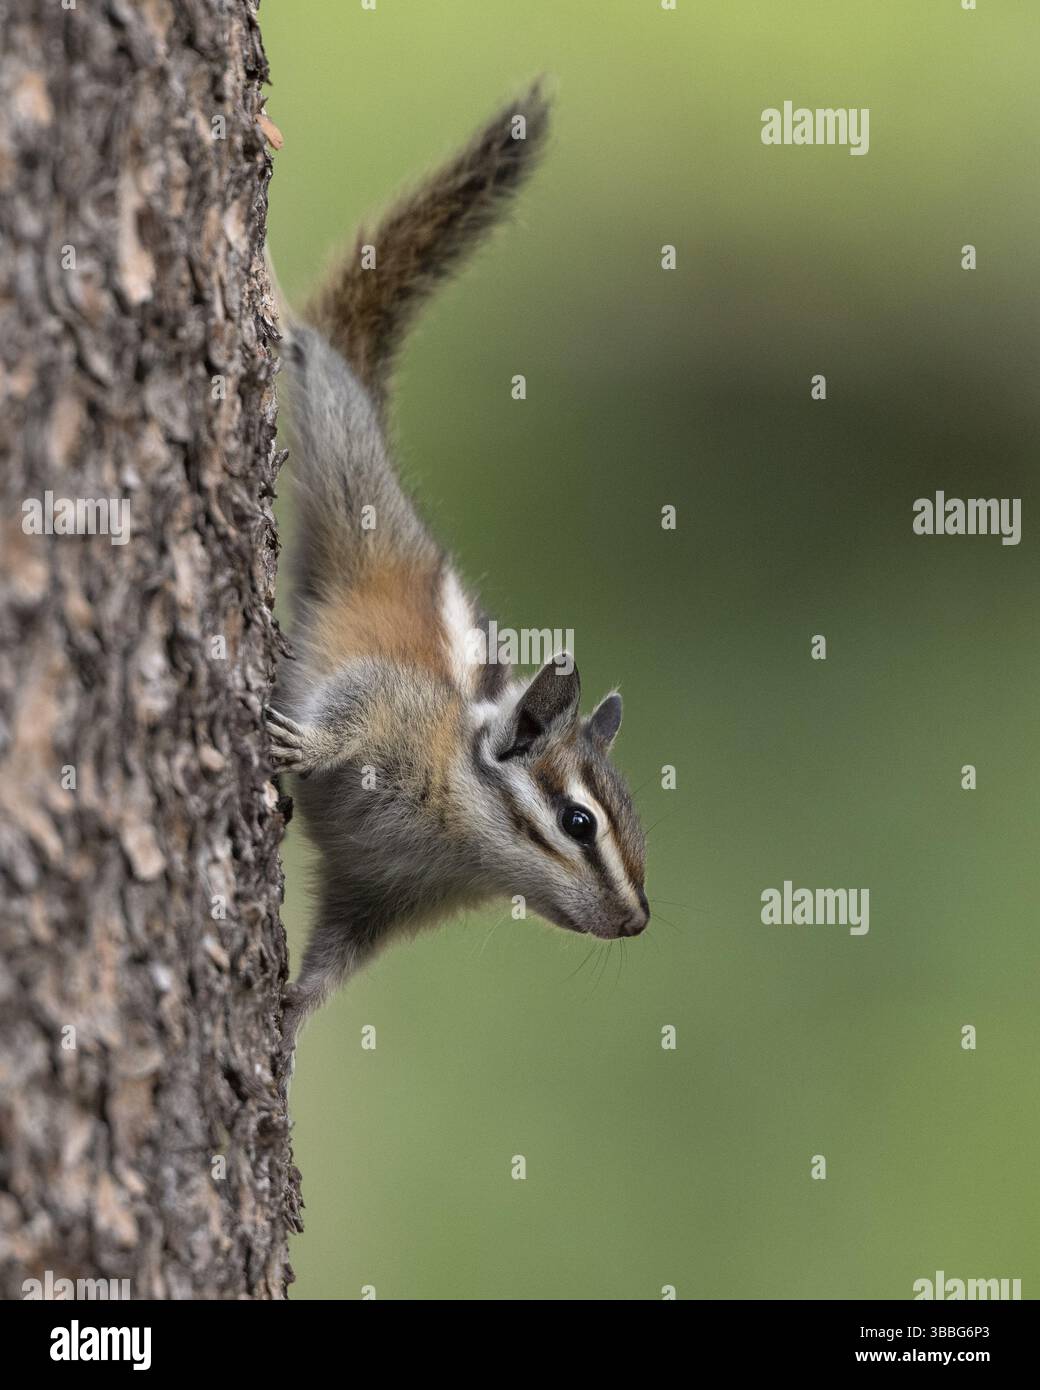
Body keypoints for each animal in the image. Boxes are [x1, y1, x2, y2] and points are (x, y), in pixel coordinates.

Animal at [269, 84, 650, 1057]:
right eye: (579, 822)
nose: (637, 921)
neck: (457, 839)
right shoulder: (392, 709)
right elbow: (350, 706)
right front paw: (304, 745)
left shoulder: (379, 897)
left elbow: (338, 954)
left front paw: (290, 1009)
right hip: (346, 452)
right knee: (320, 355)